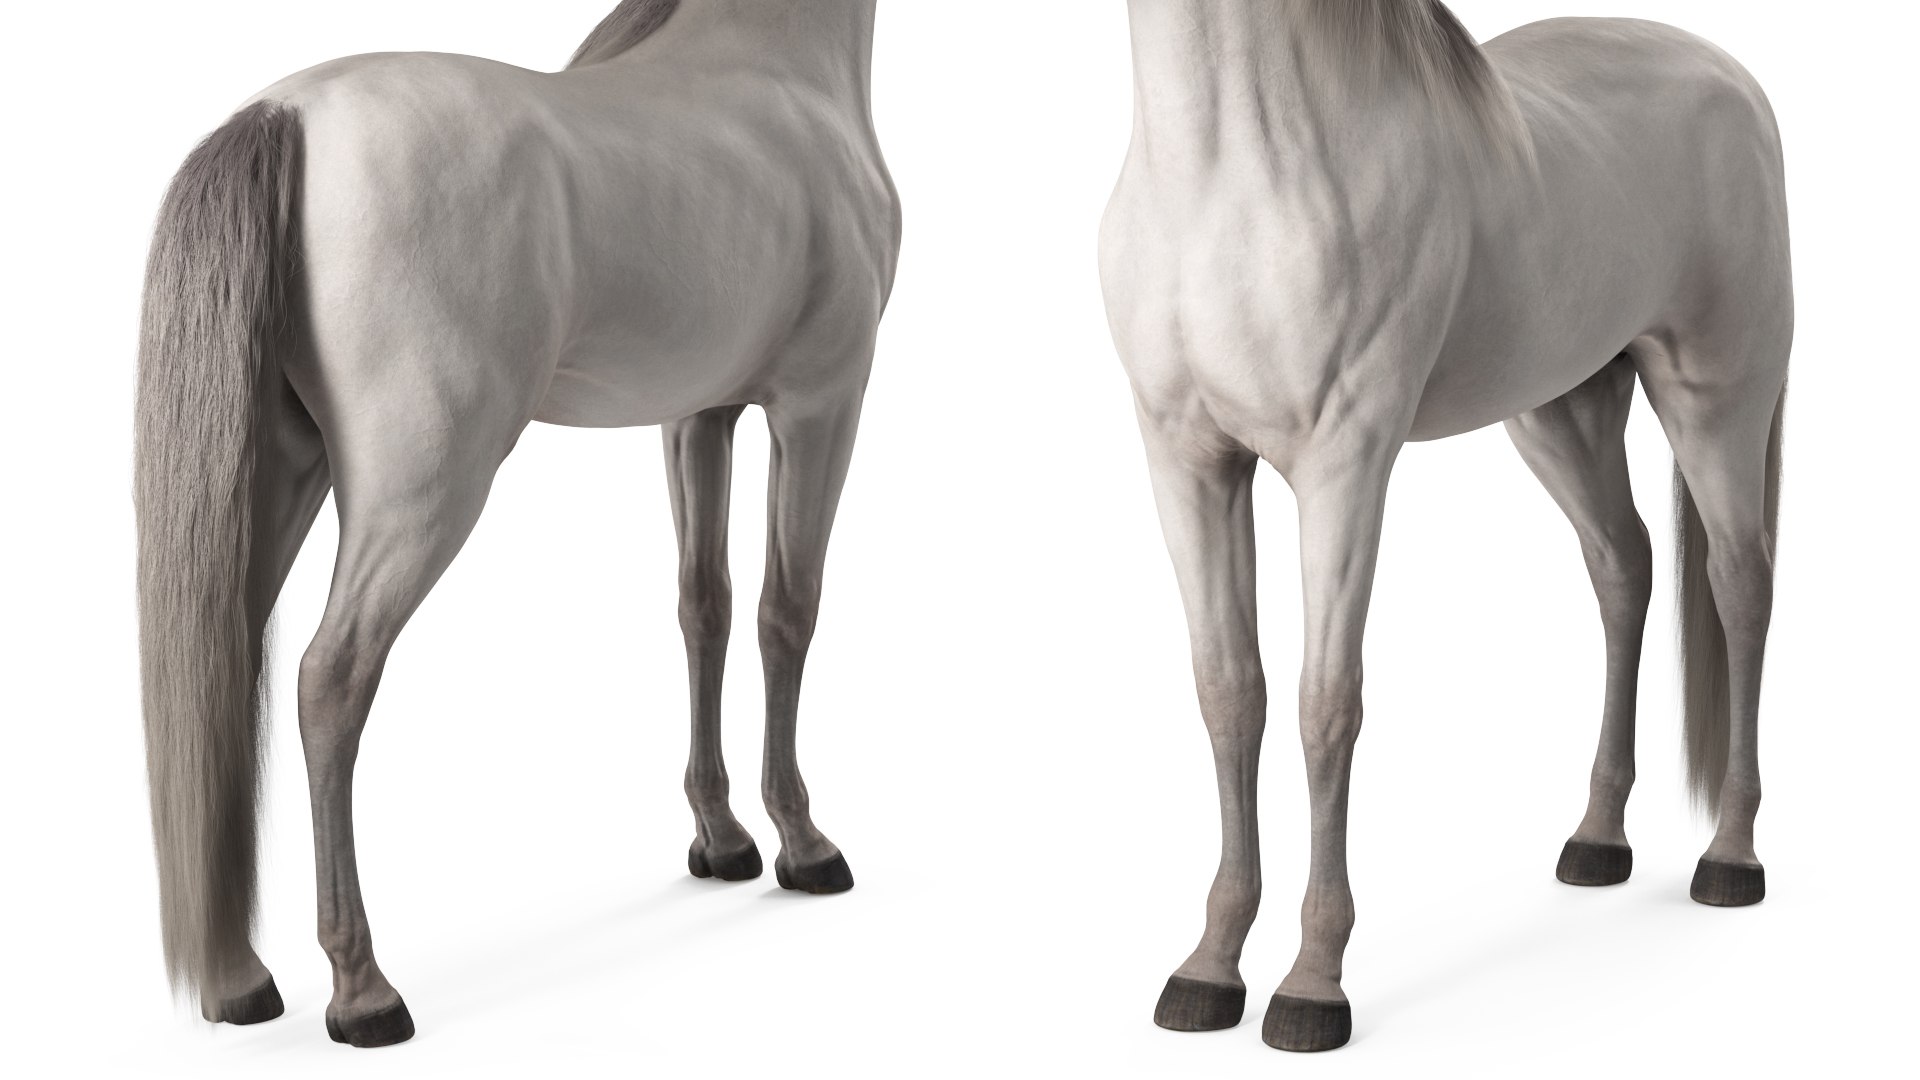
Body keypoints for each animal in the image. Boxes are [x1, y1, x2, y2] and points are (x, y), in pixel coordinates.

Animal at [134, 0, 897, 1047]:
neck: (778, 73)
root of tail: (286, 116)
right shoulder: (821, 406)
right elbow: (788, 614)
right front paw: (803, 843)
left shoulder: (698, 415)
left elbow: (704, 608)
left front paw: (722, 839)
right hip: (424, 490)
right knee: (331, 678)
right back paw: (363, 991)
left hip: (282, 472)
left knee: (224, 664)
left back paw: (239, 981)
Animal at [1099, 0, 1789, 1052]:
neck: (1229, 180)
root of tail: (1732, 79)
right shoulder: (1187, 462)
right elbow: (1229, 694)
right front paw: (1210, 968)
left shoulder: (1344, 466)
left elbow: (1324, 706)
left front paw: (1312, 984)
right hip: (1561, 413)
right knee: (1623, 567)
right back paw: (1597, 840)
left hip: (1715, 404)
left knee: (1739, 587)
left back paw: (1731, 857)